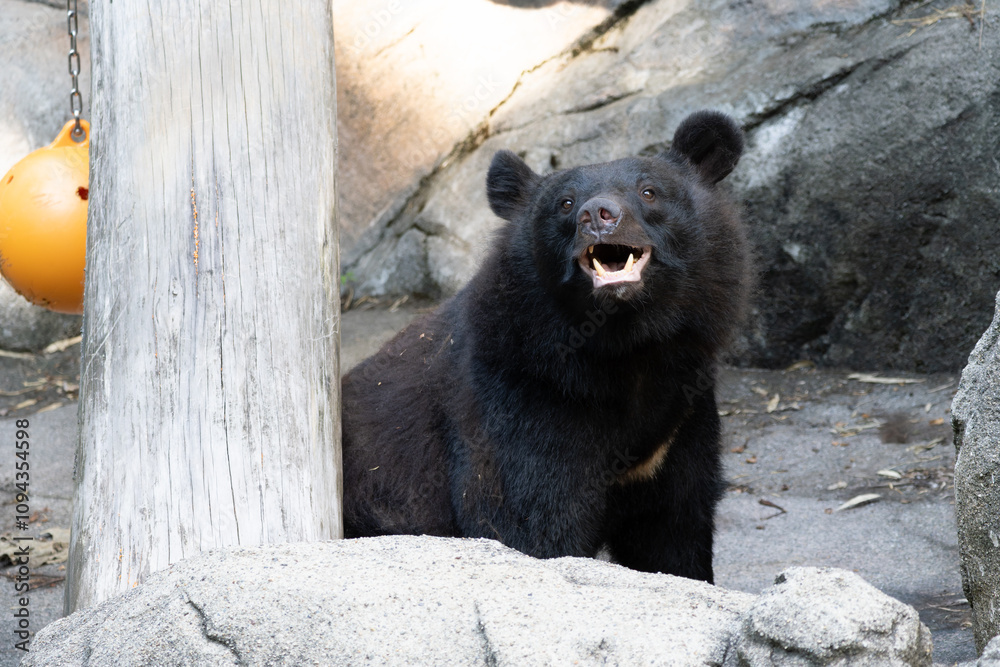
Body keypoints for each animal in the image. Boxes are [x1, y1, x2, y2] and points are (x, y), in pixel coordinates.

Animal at [341, 110, 751, 583]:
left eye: (649, 191)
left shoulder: (680, 419)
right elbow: (531, 517)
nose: (599, 215)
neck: (626, 347)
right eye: (566, 204)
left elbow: (675, 528)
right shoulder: (525, 397)